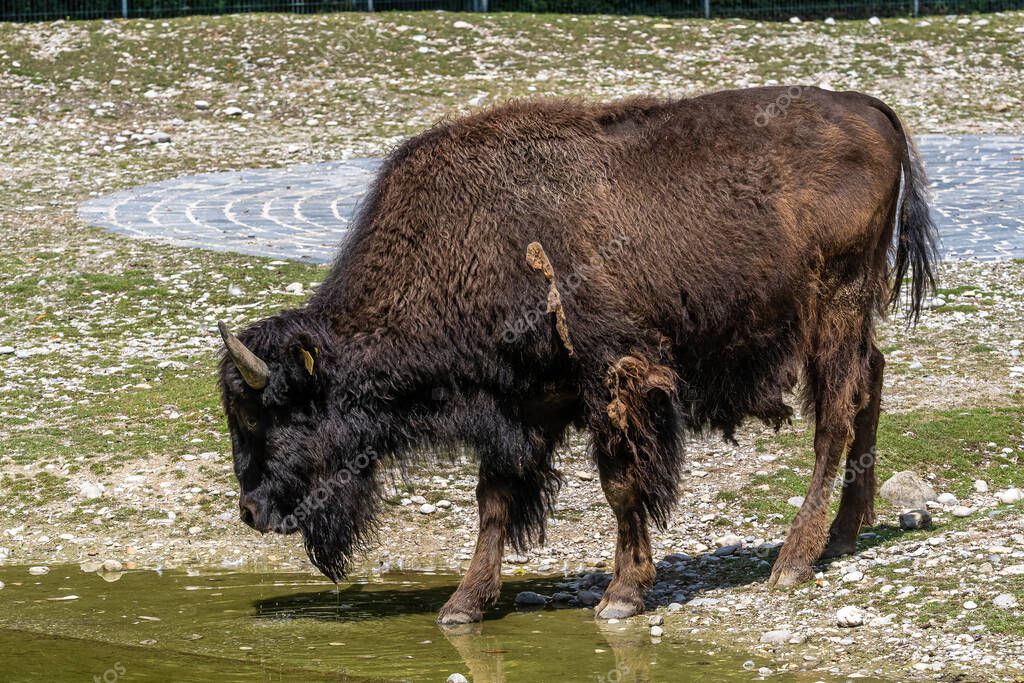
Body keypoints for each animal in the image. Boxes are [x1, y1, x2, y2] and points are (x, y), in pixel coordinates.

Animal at [218, 86, 937, 623]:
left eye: (270, 412)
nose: (251, 511)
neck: (470, 239)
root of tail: (869, 109)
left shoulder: (610, 380)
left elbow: (620, 485)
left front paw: (621, 595)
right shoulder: (518, 405)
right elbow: (493, 501)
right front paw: (463, 606)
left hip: (833, 308)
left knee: (835, 417)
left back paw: (792, 560)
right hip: (850, 316)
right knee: (872, 383)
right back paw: (844, 533)